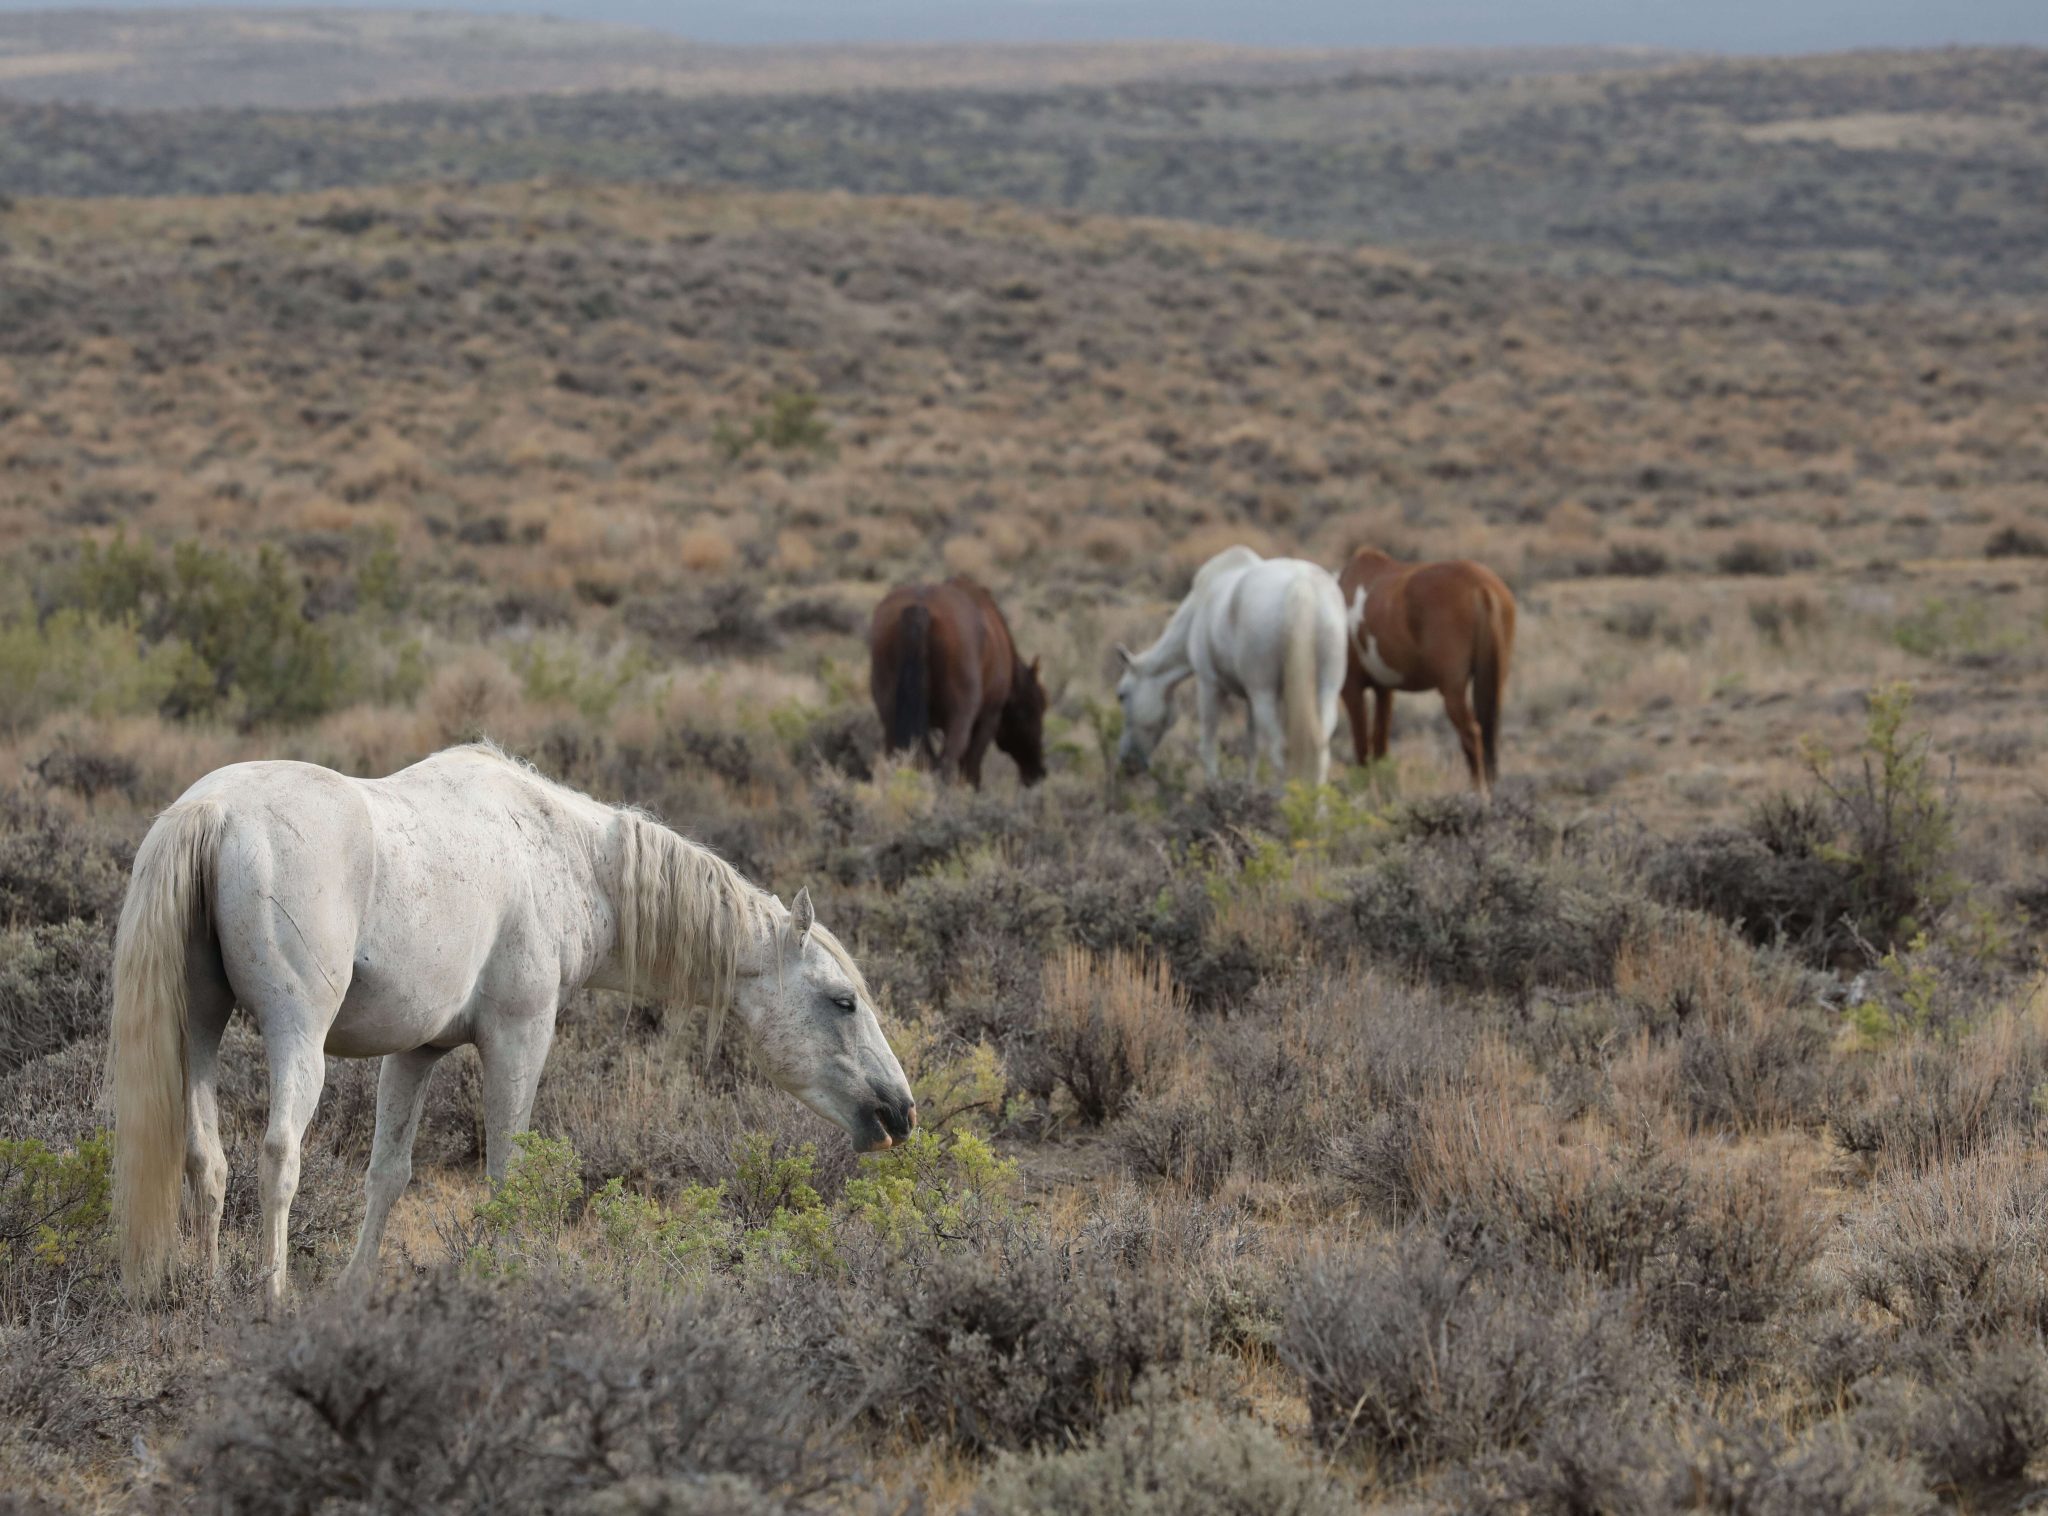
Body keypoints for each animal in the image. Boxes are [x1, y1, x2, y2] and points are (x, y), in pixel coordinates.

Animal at [108, 742, 916, 1304]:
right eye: (842, 1001)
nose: (900, 1112)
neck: (566, 856)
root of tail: (217, 812)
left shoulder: (416, 1053)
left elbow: (387, 1175)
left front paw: (354, 1289)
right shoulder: (520, 1036)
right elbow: (505, 1173)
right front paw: (504, 1277)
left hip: (199, 1028)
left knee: (206, 1158)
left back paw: (212, 1290)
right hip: (295, 1036)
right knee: (279, 1153)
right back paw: (271, 1298)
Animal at [868, 576, 1047, 789]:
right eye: (1035, 710)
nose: (1038, 773)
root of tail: (918, 610)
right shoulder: (989, 718)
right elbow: (971, 768)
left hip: (891, 718)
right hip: (960, 720)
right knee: (945, 763)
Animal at [1115, 545, 1348, 789]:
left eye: (1121, 695)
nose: (1128, 762)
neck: (1199, 605)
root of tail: (1301, 586)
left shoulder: (1209, 686)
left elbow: (1208, 746)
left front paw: (1213, 788)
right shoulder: (1249, 701)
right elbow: (1251, 749)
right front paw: (1248, 788)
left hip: (1264, 696)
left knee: (1279, 753)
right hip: (1324, 695)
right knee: (1320, 752)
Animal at [1337, 548, 1517, 794]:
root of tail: (1482, 587)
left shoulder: (1352, 689)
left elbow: (1363, 748)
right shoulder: (1384, 690)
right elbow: (1380, 745)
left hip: (1452, 691)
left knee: (1471, 734)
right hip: (1493, 683)